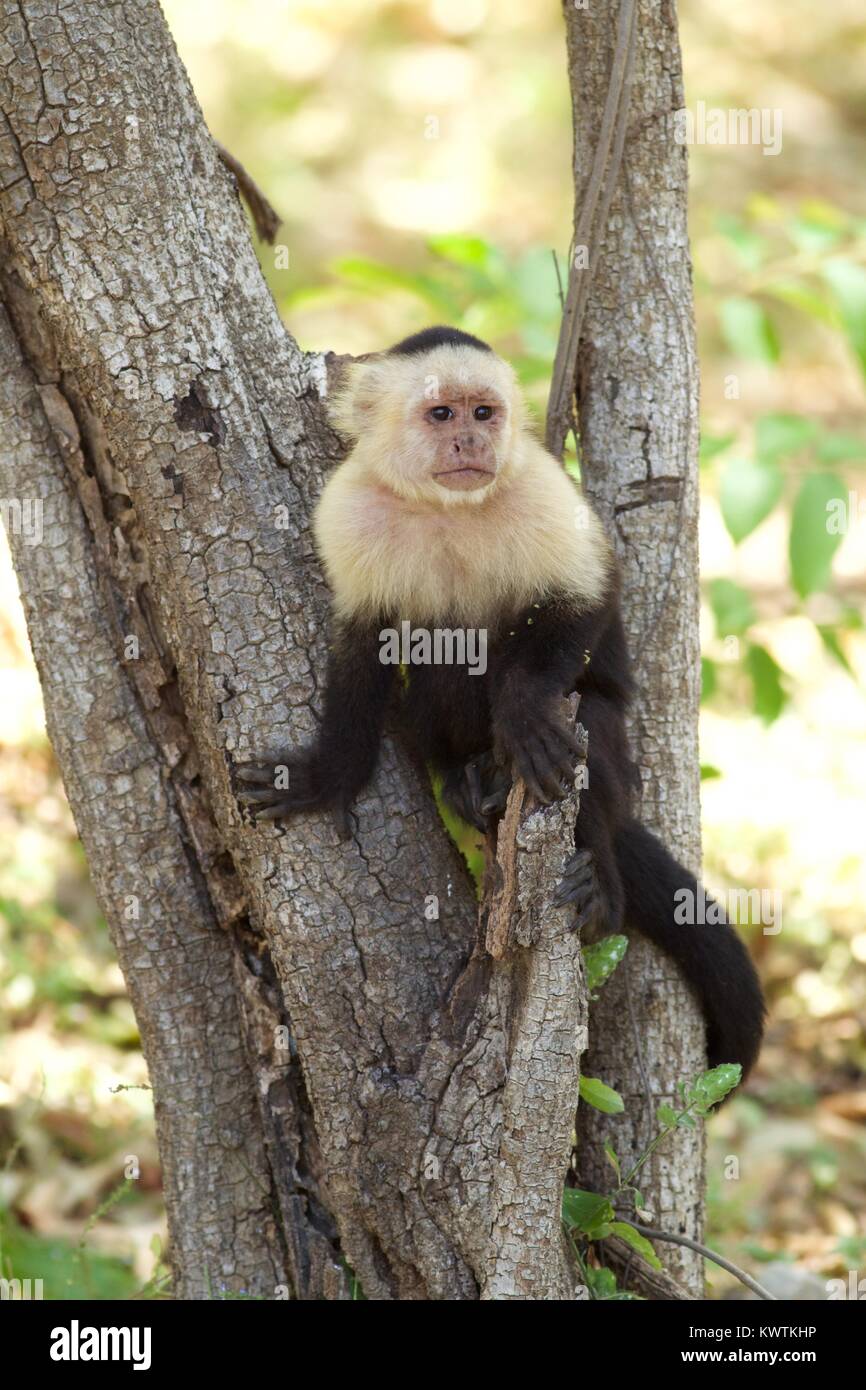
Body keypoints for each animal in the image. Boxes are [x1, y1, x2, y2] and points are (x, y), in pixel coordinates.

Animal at [237, 325, 766, 1081]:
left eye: (484, 412)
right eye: (441, 414)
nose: (470, 441)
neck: (447, 510)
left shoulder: (542, 488)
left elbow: (583, 603)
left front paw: (523, 716)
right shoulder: (348, 509)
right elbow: (363, 643)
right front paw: (328, 775)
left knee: (589, 727)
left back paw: (597, 881)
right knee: (443, 657)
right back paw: (466, 778)